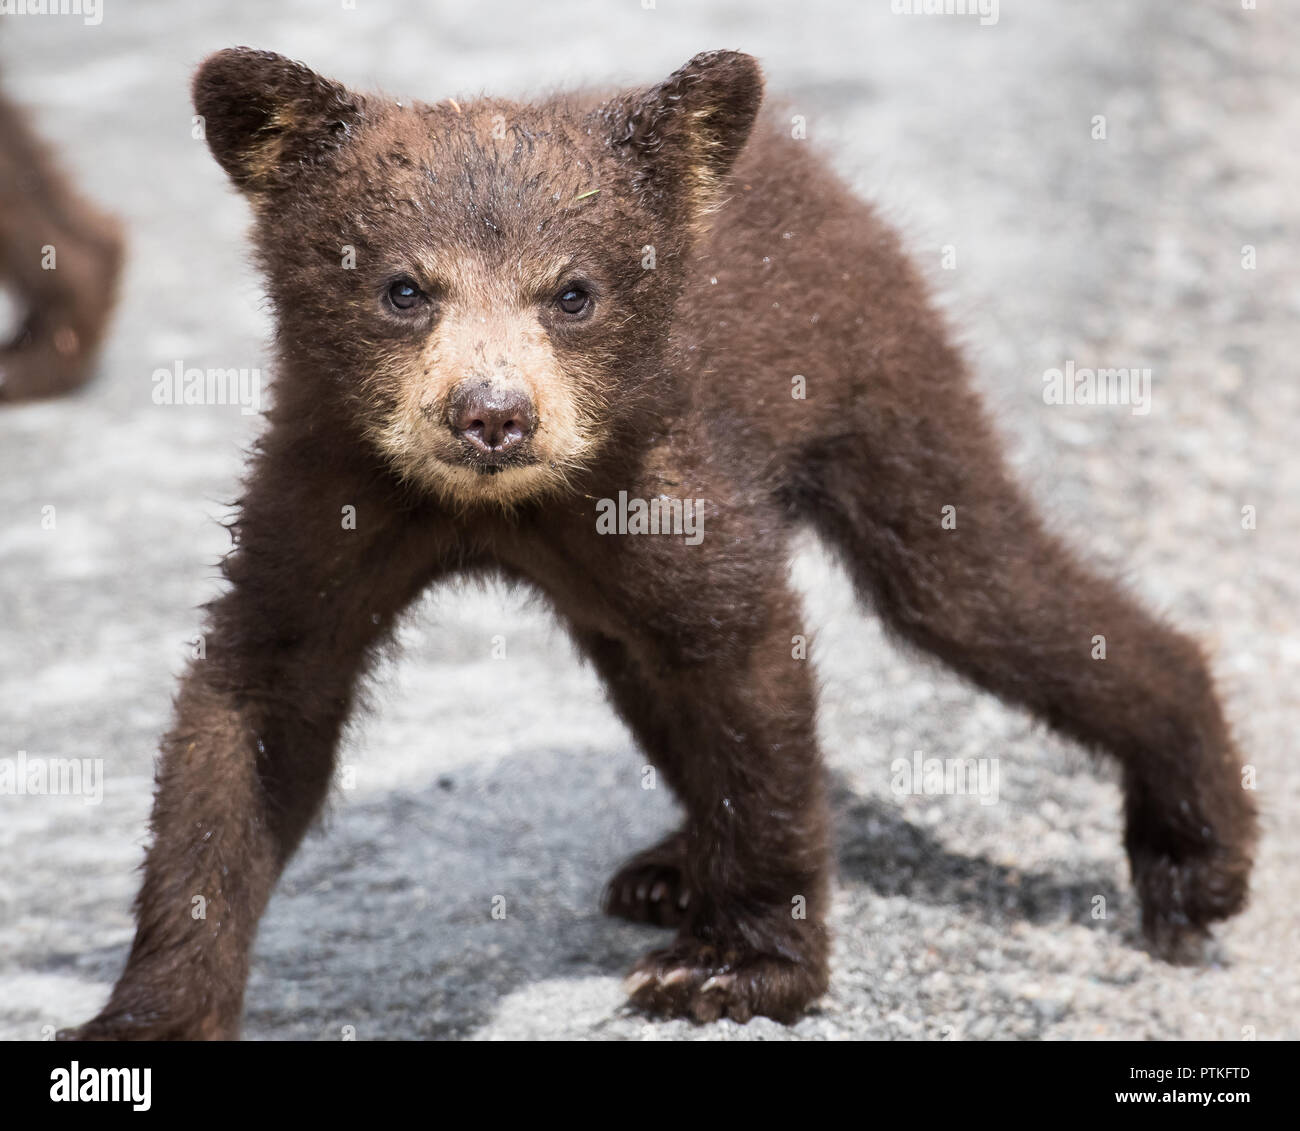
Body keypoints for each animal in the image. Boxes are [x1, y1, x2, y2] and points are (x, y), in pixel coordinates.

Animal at [61, 46, 1255, 1038]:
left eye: (573, 292)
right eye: (402, 286)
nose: (491, 414)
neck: (499, 506)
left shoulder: (670, 479)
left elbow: (744, 664)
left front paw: (735, 965)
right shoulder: (329, 488)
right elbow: (254, 701)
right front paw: (153, 1008)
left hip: (879, 370)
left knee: (974, 589)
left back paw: (1193, 854)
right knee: (648, 664)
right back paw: (673, 862)